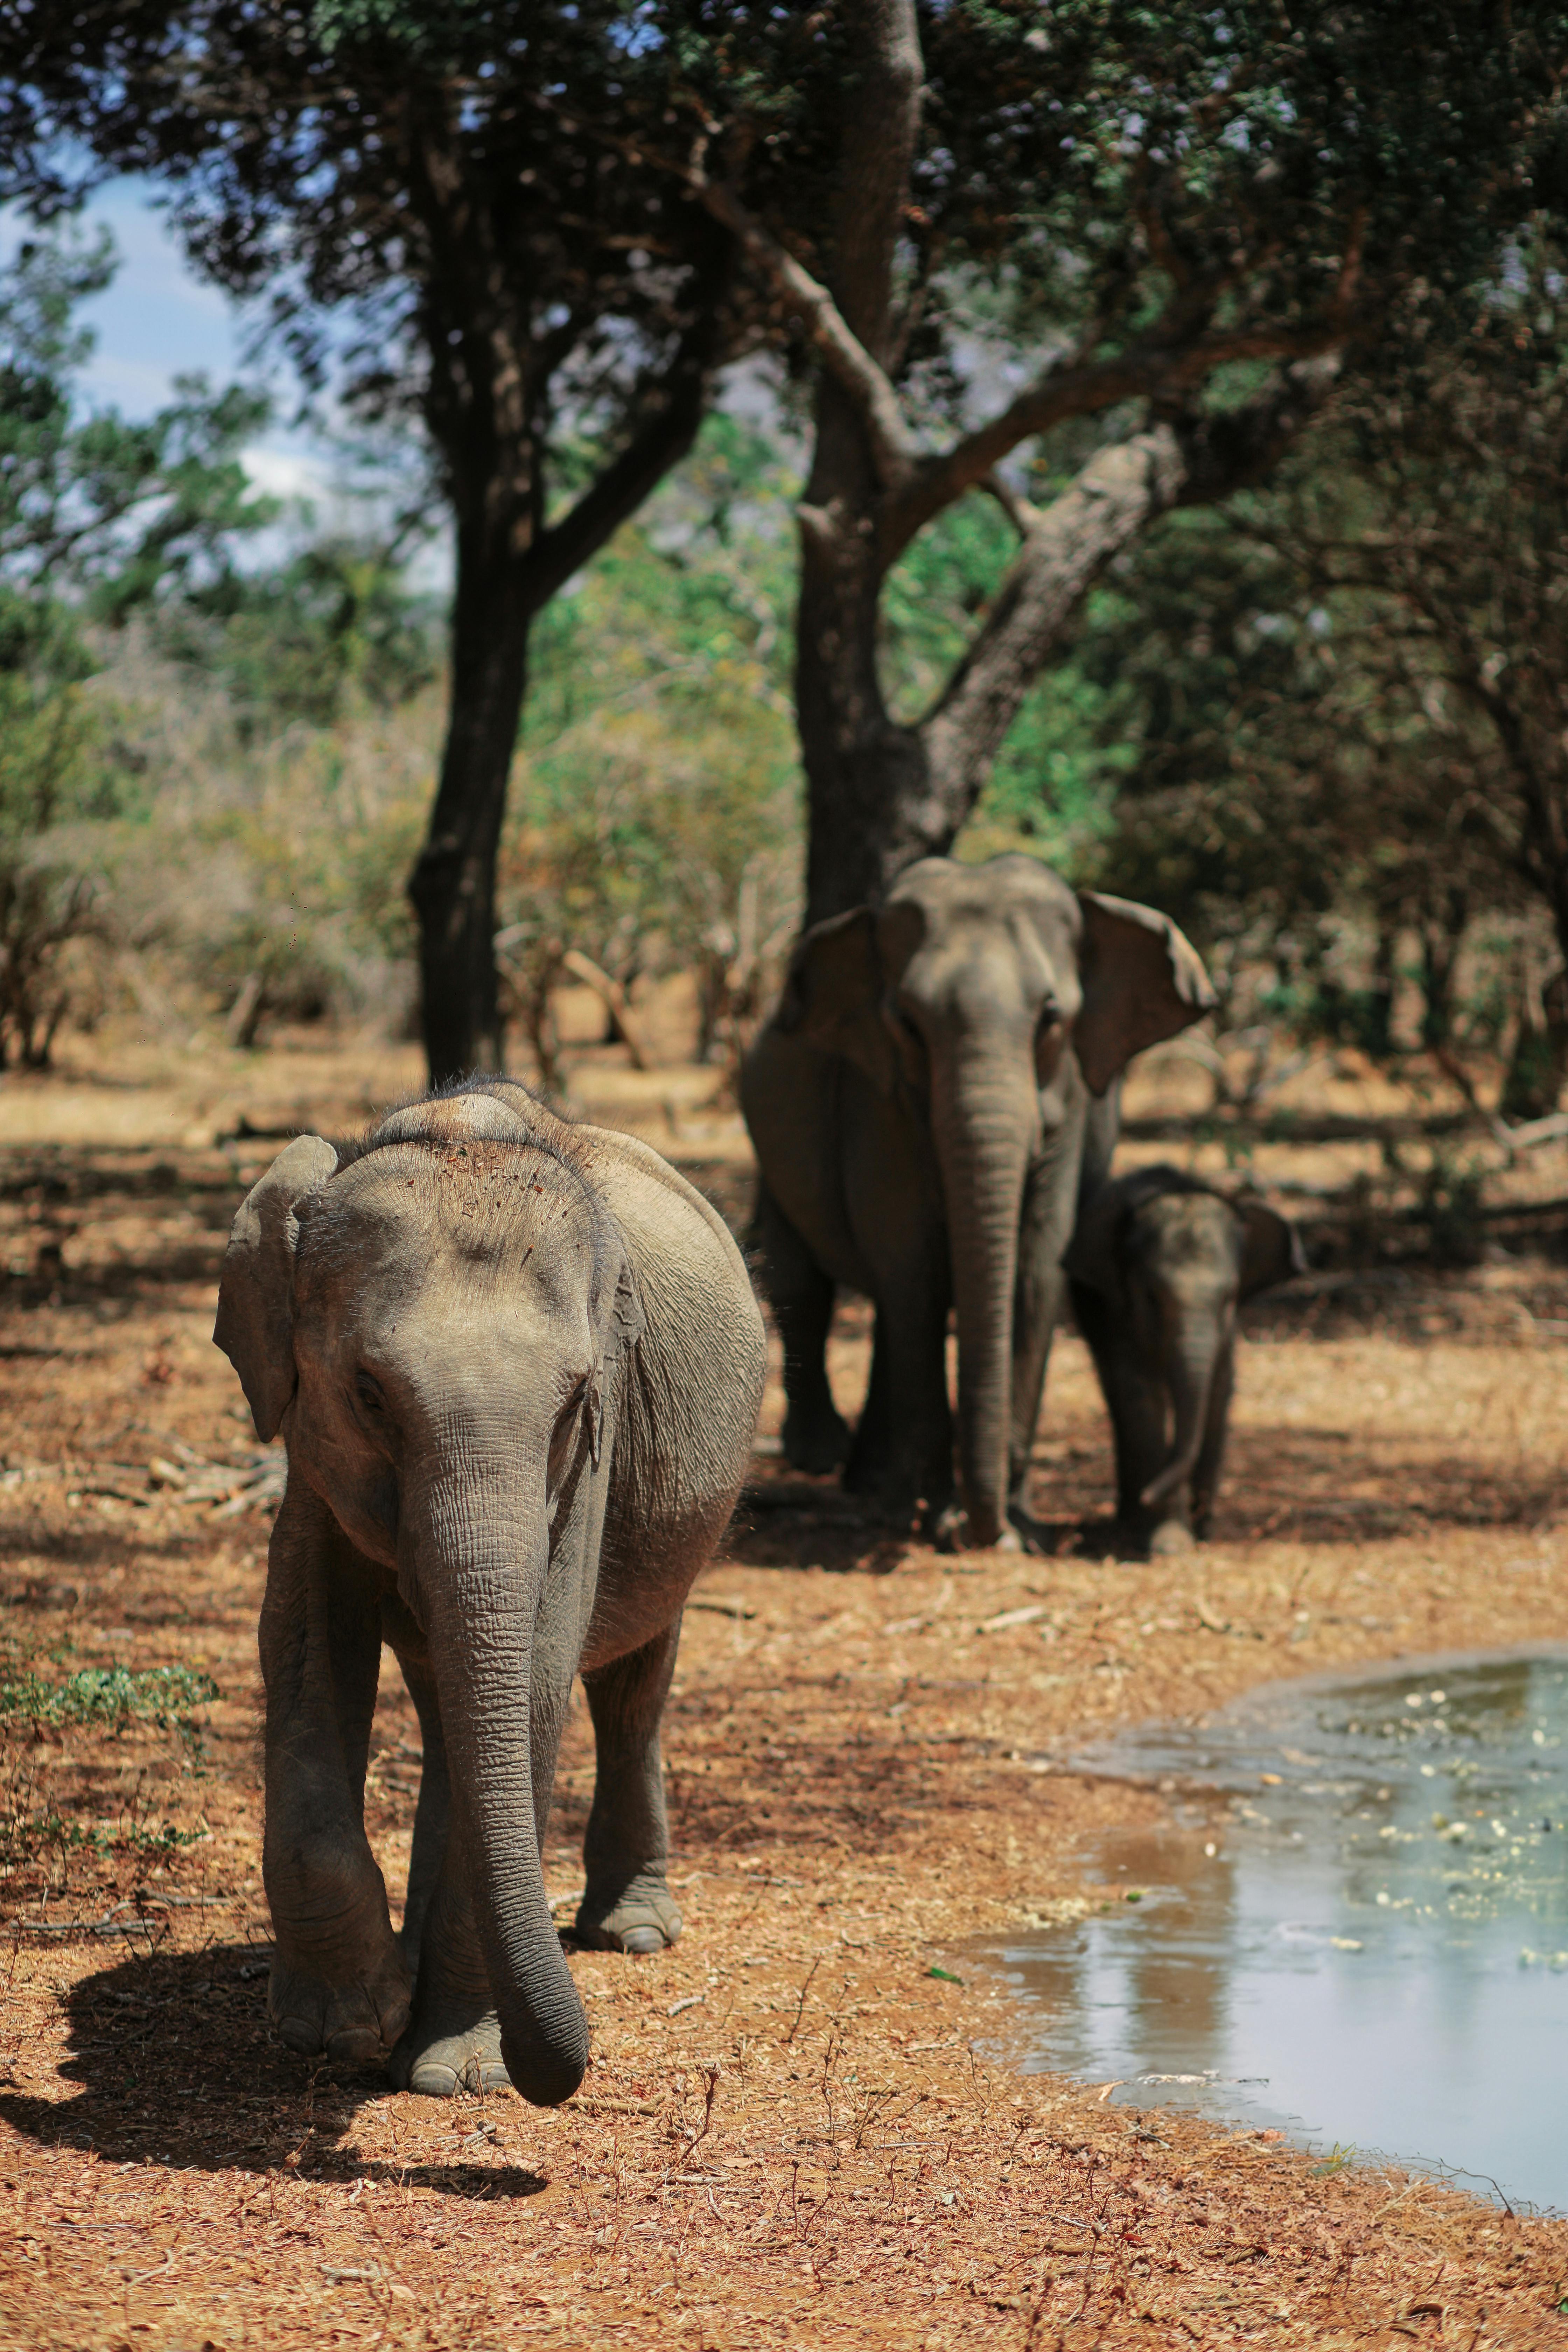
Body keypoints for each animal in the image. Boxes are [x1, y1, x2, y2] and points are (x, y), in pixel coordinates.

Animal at [213, 1077, 766, 2106]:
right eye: (370, 1393)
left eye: (572, 1402)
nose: (560, 2077)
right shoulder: (310, 1447)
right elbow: (304, 1642)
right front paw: (340, 2030)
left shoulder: (594, 1458)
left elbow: (543, 1669)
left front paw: (453, 2075)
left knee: (631, 1684)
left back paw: (632, 1932)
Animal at [740, 854, 1214, 1550]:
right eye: (908, 1024)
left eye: (1051, 1019)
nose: (982, 1528)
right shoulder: (879, 1098)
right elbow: (914, 1269)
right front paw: (941, 1519)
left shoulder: (1071, 1103)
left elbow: (1037, 1268)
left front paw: (1021, 1528)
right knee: (803, 1275)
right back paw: (837, 1468)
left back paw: (878, 1487)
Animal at [1064, 1162, 1303, 1555]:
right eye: (1151, 1296)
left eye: (1230, 1297)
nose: (1148, 1495)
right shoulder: (1117, 1313)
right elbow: (1140, 1395)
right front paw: (1168, 1542)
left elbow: (1218, 1391)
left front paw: (1201, 1529)